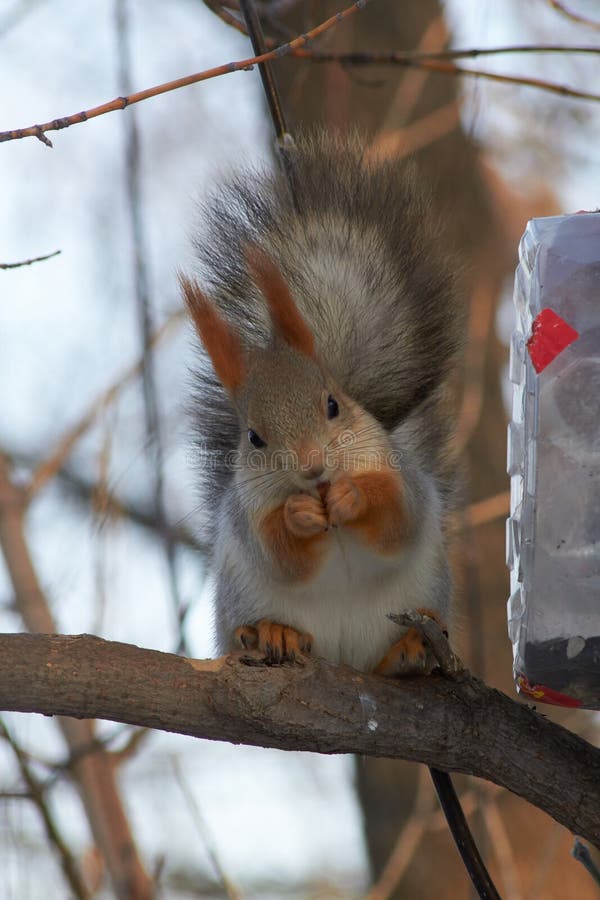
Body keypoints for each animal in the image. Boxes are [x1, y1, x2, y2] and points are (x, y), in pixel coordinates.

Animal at [180, 131, 463, 676]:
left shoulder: (398, 473)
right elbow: (280, 553)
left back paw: (408, 650)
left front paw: (354, 497)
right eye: (254, 437)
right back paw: (277, 633)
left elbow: (398, 518)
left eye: (333, 405)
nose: (313, 467)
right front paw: (298, 515)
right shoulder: (248, 514)